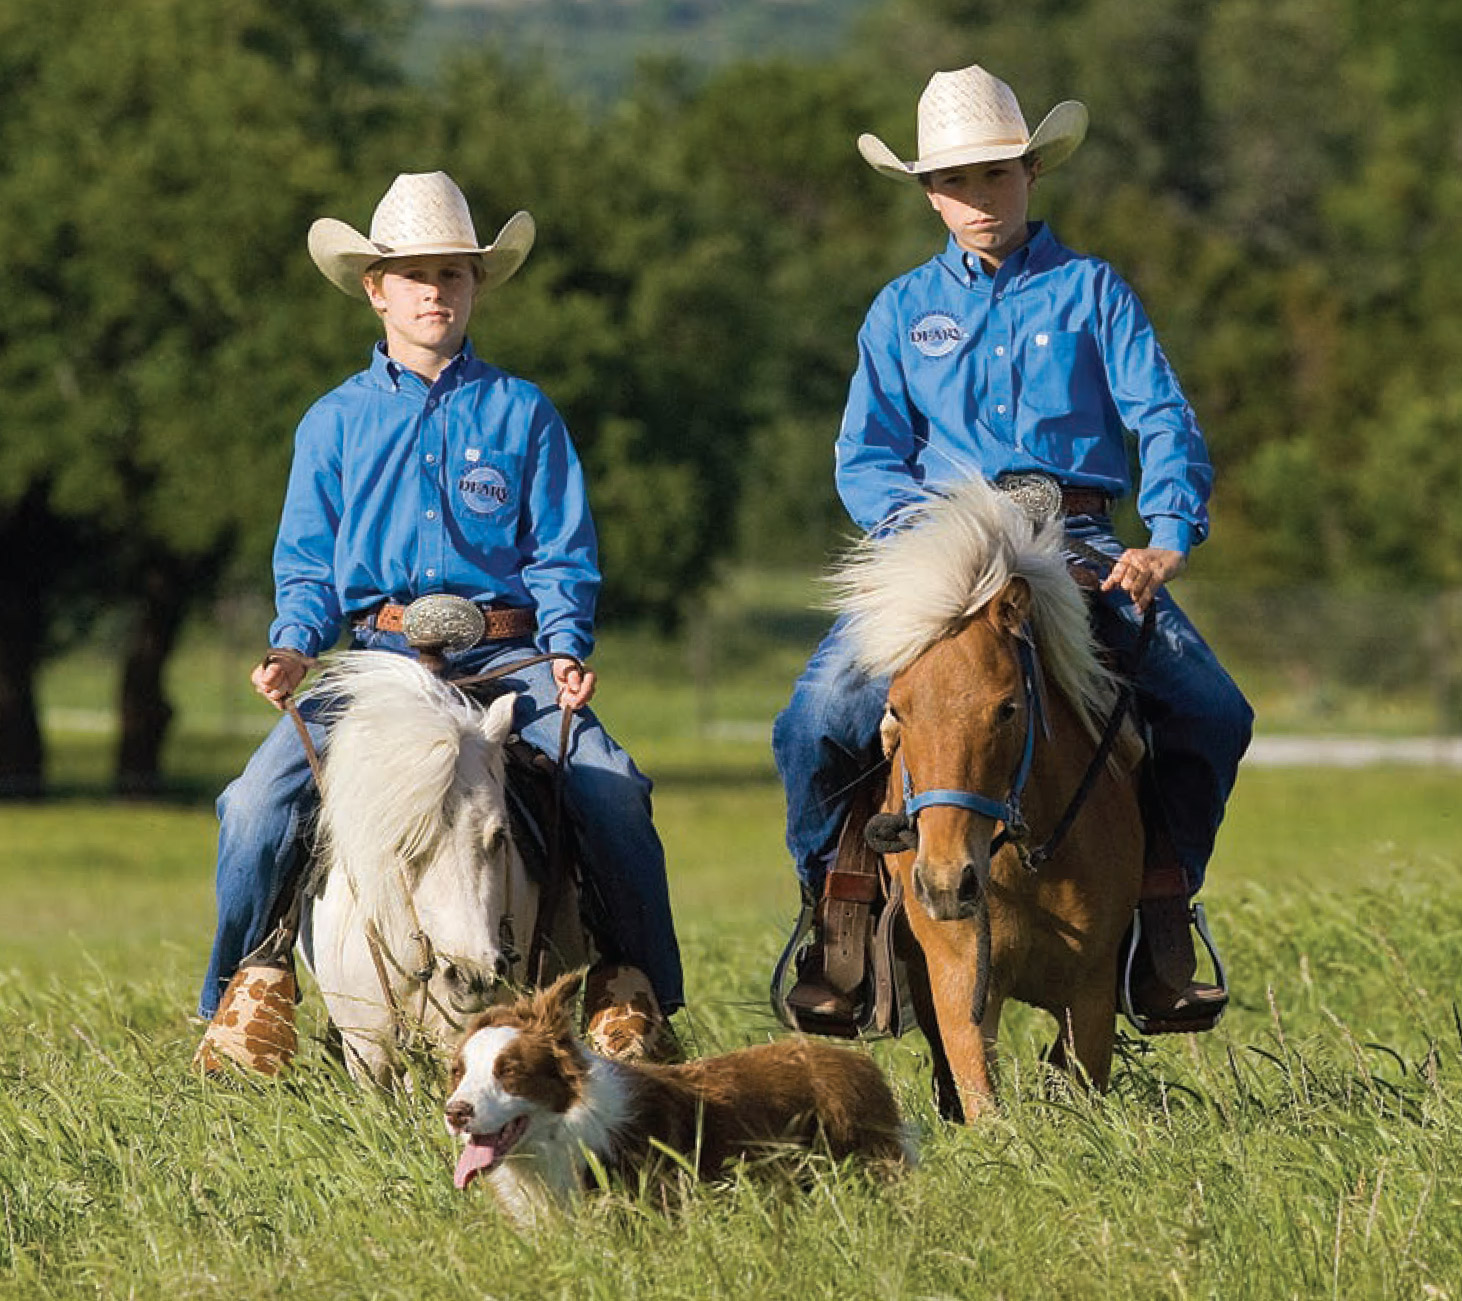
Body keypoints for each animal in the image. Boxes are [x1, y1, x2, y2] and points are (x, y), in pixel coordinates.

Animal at [829, 478, 1145, 1121]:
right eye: (897, 709)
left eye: (1007, 709)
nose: (947, 883)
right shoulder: (958, 980)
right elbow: (985, 1108)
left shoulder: (1092, 992)